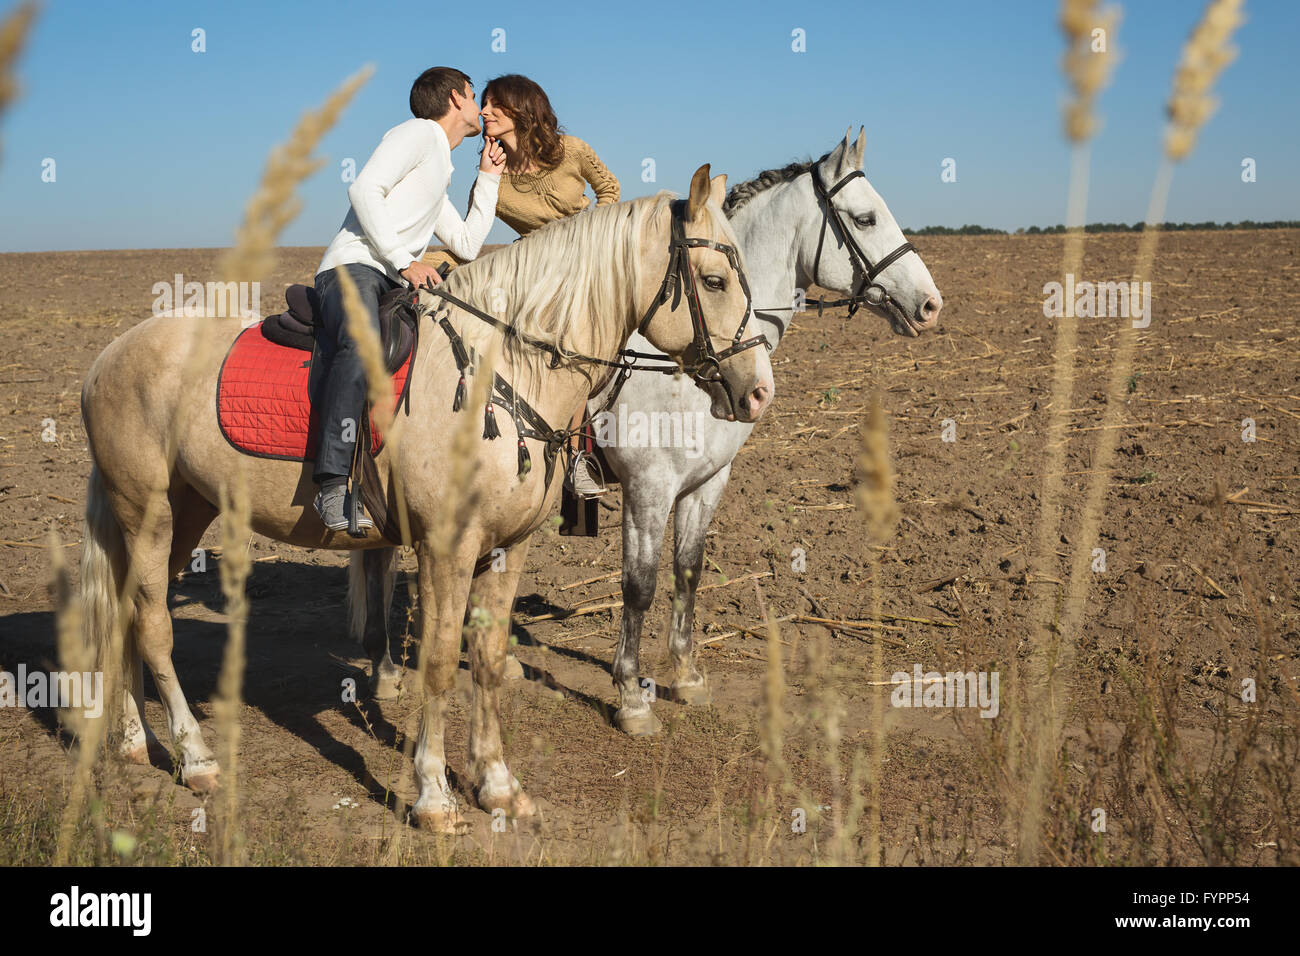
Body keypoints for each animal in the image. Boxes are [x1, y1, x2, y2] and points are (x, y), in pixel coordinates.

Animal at [78, 165, 773, 831]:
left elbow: (487, 660)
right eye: (714, 281)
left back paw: (135, 741)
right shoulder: (447, 549)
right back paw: (195, 757)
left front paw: (498, 786)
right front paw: (435, 795)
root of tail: (107, 357)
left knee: (126, 616)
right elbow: (439, 664)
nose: (760, 391)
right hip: (146, 514)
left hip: (185, 511)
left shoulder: (507, 550)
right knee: (153, 626)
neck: (502, 369)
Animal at [347, 128, 943, 735]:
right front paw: (632, 695)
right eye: (866, 218)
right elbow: (639, 585)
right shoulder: (649, 488)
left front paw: (686, 675)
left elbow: (688, 572)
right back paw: (386, 670)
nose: (929, 304)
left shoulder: (706, 484)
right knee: (376, 558)